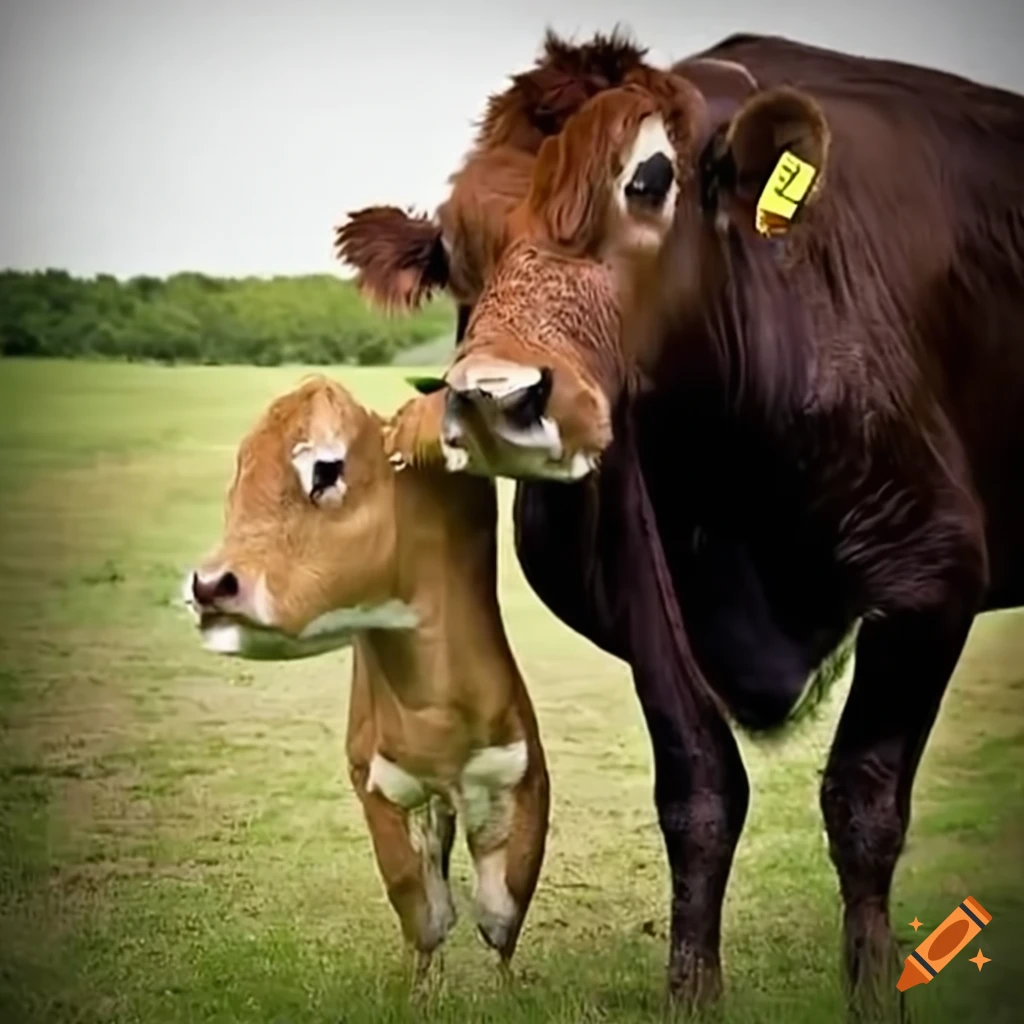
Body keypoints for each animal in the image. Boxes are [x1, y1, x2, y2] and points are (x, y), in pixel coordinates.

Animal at [182, 376, 550, 992]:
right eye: (240, 470)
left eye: (327, 468)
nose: (210, 585)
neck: (435, 714)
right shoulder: (373, 781)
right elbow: (422, 910)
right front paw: (419, 990)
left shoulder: (521, 774)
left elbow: (501, 918)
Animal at [333, 28, 1024, 1021]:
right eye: (453, 244)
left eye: (648, 179)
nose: (498, 398)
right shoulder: (639, 607)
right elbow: (699, 792)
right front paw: (693, 991)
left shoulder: (930, 580)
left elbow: (864, 802)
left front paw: (872, 989)